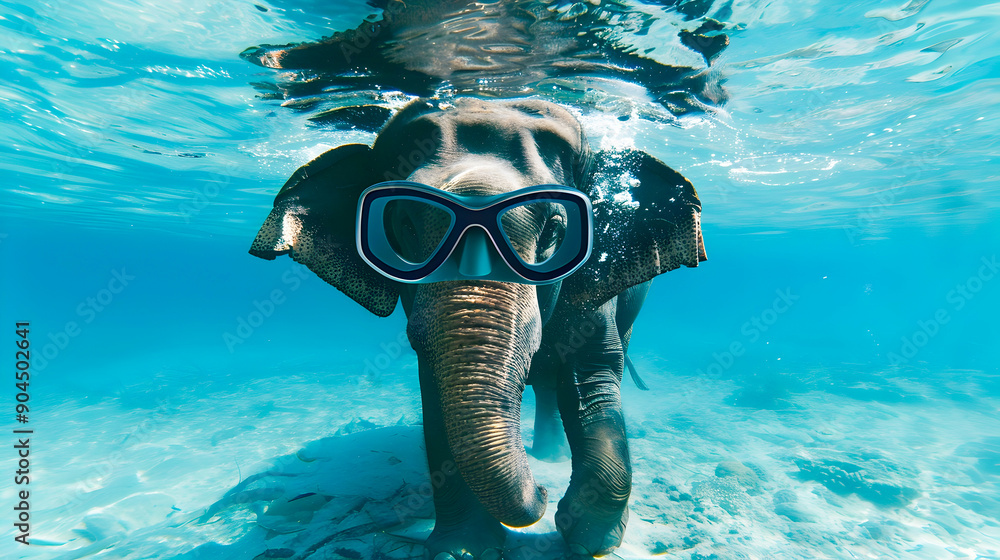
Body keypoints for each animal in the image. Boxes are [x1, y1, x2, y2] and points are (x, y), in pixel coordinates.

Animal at [248, 96, 706, 559]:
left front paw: (588, 537)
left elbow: (593, 376)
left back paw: (550, 460)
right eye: (405, 225)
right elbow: (436, 396)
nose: (542, 493)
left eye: (554, 231)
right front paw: (461, 549)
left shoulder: (594, 288)